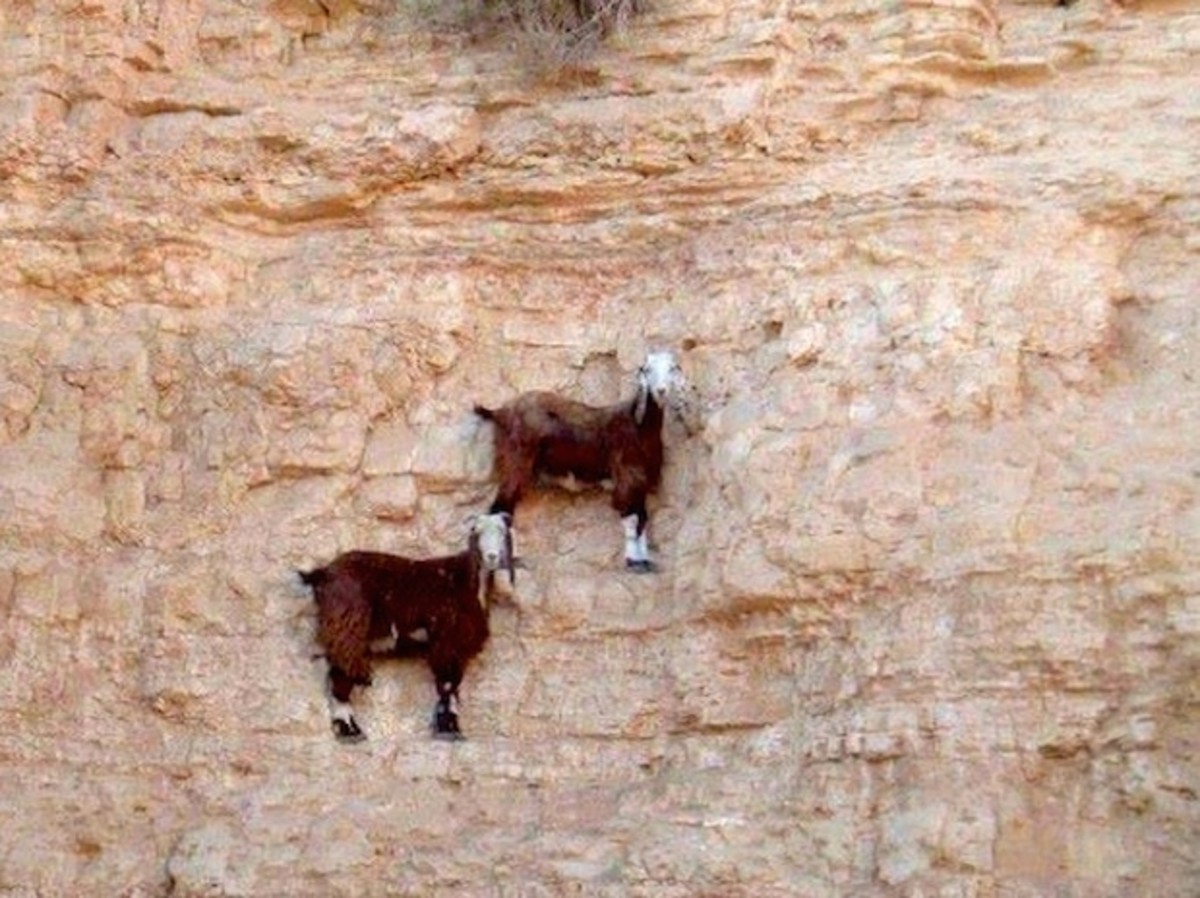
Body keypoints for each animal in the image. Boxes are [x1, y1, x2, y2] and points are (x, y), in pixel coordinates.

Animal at [298, 512, 514, 742]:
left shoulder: (459, 647)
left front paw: (453, 728)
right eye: (476, 531)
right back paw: (350, 732)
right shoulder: (445, 640)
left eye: (502, 532)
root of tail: (323, 572)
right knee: (341, 679)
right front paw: (447, 730)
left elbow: (453, 686)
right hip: (347, 632)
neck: (463, 581)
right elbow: (447, 685)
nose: (492, 556)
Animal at [473, 350, 688, 573]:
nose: (661, 390)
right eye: (647, 369)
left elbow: (642, 519)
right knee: (501, 507)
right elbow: (631, 520)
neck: (639, 427)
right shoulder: (627, 475)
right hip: (516, 462)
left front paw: (644, 561)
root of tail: (500, 411)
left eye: (672, 368)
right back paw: (509, 559)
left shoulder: (641, 480)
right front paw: (632, 561)